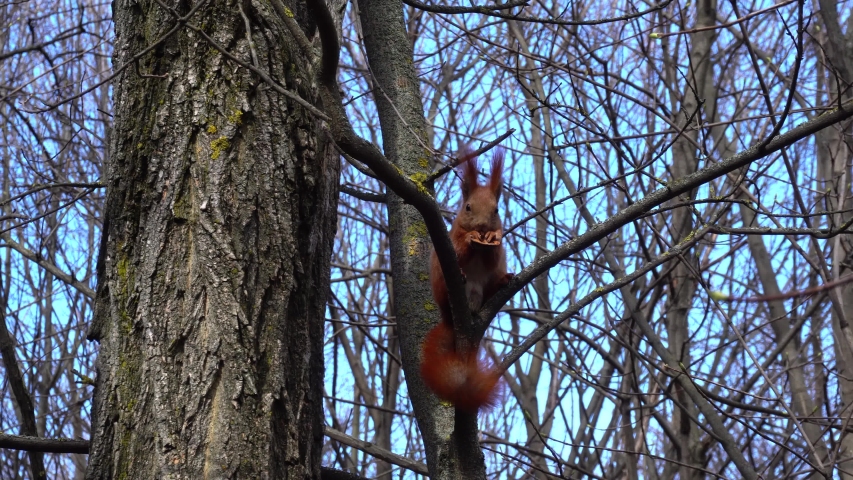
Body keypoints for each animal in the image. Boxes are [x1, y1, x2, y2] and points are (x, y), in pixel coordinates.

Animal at [420, 148, 513, 413]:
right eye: (468, 207)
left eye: (497, 210)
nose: (481, 226)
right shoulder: (451, 240)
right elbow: (460, 249)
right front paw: (471, 238)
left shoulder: (495, 253)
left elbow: (493, 257)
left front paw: (493, 237)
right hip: (441, 279)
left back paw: (502, 281)